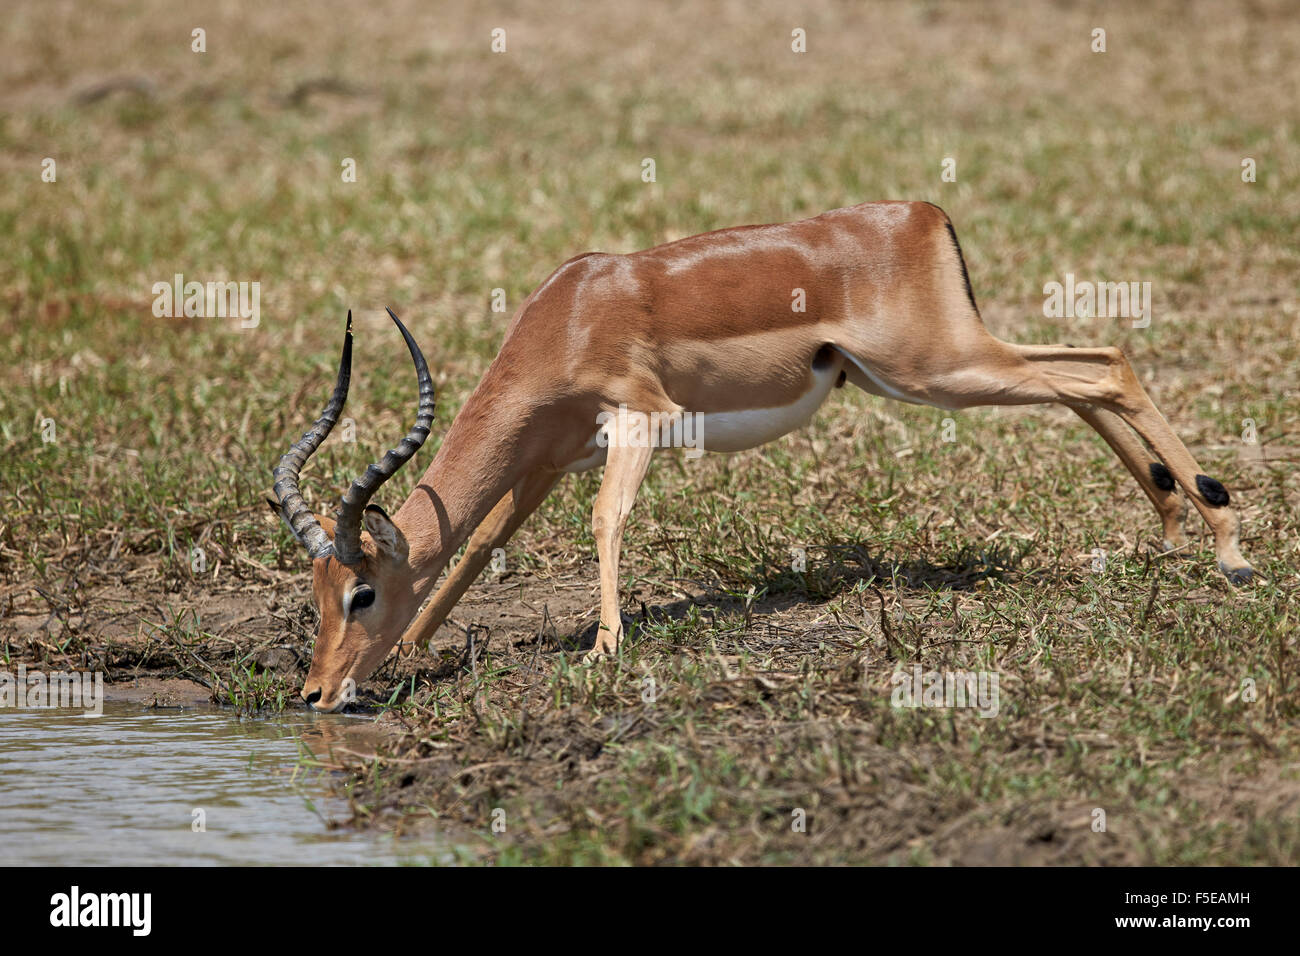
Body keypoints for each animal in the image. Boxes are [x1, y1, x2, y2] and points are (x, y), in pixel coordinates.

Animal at [271, 200, 1253, 713]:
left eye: (360, 592)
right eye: (314, 595)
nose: (316, 694)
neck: (573, 311)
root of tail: (924, 214)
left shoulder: (640, 421)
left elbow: (606, 522)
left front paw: (603, 651)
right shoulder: (549, 457)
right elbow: (478, 543)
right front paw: (414, 652)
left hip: (939, 372)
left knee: (1105, 366)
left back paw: (1229, 549)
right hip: (938, 372)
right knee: (1086, 377)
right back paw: (1176, 521)